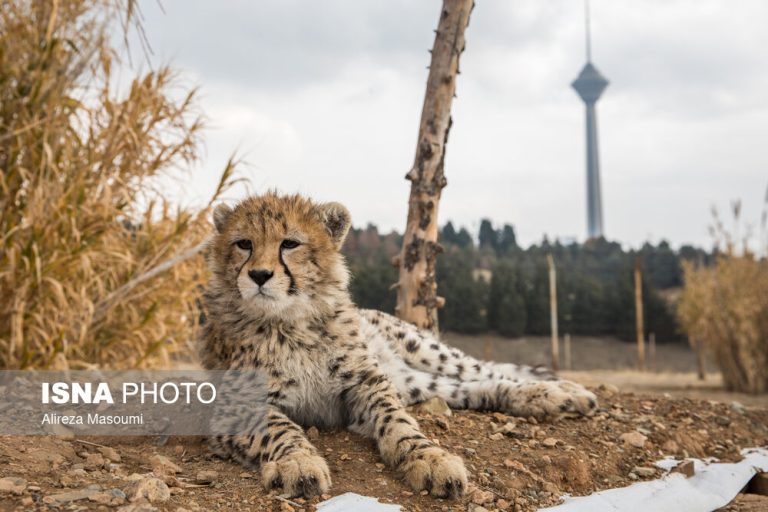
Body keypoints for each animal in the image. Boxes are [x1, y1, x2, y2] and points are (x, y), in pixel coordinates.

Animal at [199, 192, 598, 500]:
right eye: (244, 244)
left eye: (290, 243)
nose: (259, 275)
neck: (291, 322)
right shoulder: (233, 406)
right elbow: (278, 428)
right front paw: (297, 461)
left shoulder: (368, 385)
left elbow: (399, 422)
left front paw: (430, 459)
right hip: (414, 382)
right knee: (477, 387)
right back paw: (555, 398)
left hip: (426, 353)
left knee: (489, 371)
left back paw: (561, 392)